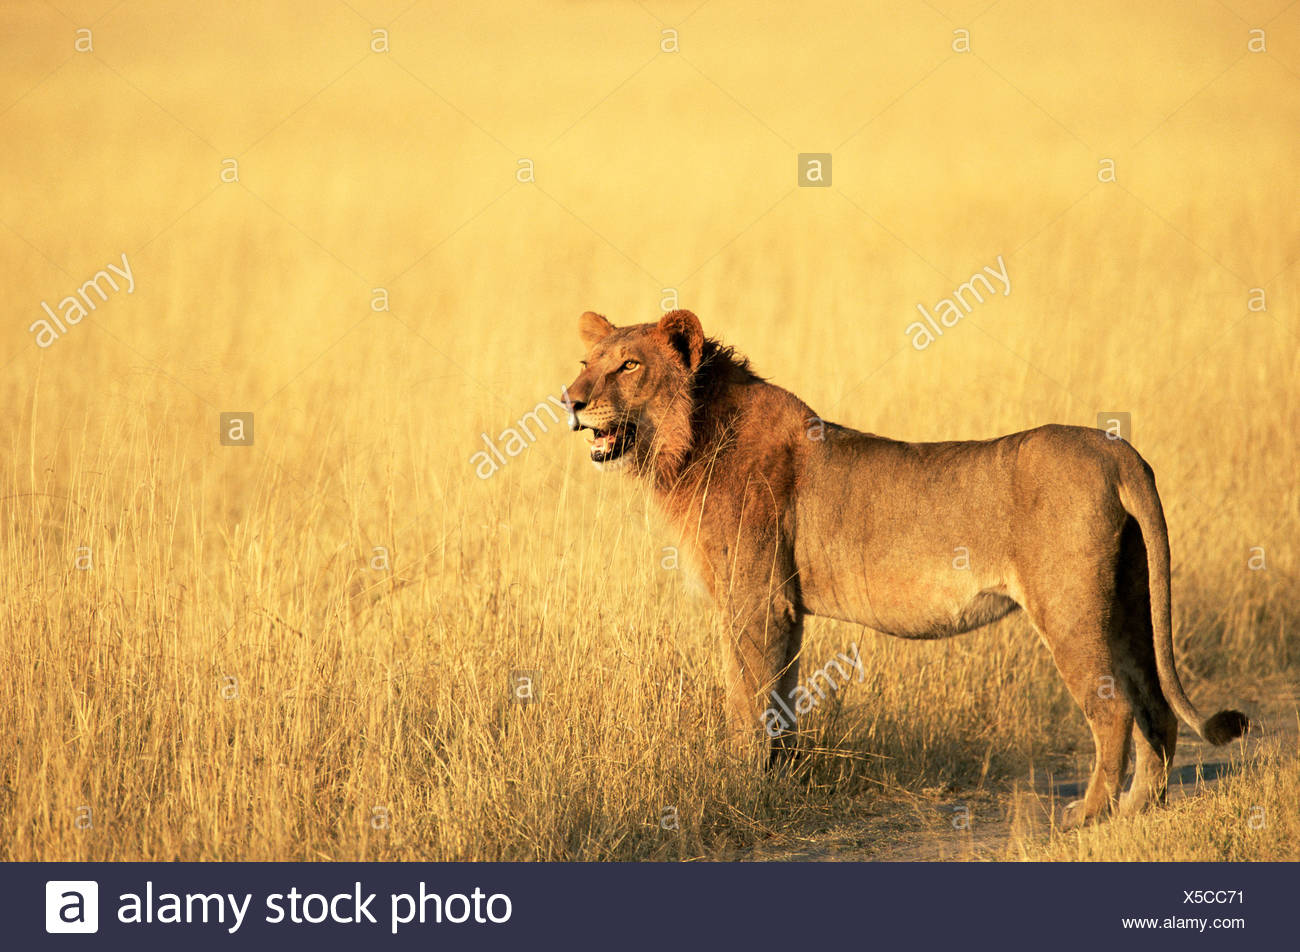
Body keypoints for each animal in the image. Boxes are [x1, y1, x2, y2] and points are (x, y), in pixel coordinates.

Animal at [562, 308, 1248, 826]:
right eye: (585, 364)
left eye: (628, 365)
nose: (569, 401)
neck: (689, 441)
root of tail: (1117, 448)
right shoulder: (783, 610)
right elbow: (780, 701)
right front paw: (780, 784)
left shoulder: (757, 602)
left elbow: (746, 699)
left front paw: (741, 784)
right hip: (1129, 598)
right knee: (1156, 704)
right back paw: (1138, 809)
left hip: (1071, 609)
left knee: (1115, 709)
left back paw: (1089, 813)